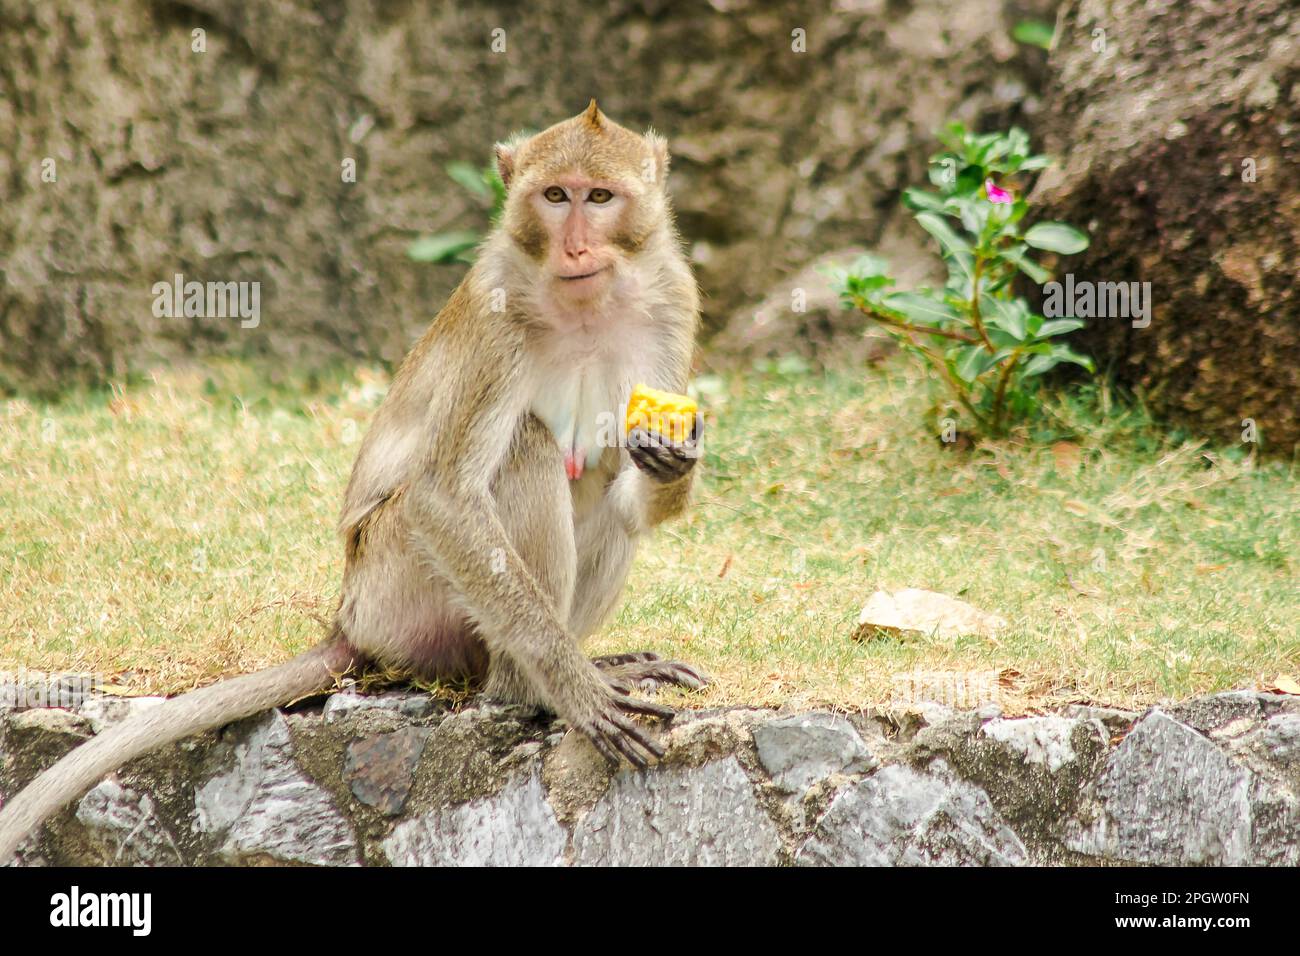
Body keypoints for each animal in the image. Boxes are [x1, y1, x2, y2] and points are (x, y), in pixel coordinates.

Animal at [0, 101, 707, 861]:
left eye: (599, 198)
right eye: (555, 196)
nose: (575, 249)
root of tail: (348, 616)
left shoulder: (673, 299)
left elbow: (631, 487)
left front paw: (675, 460)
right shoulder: (496, 312)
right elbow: (443, 496)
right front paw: (576, 693)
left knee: (593, 469)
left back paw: (592, 661)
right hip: (398, 587)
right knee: (525, 447)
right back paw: (533, 689)